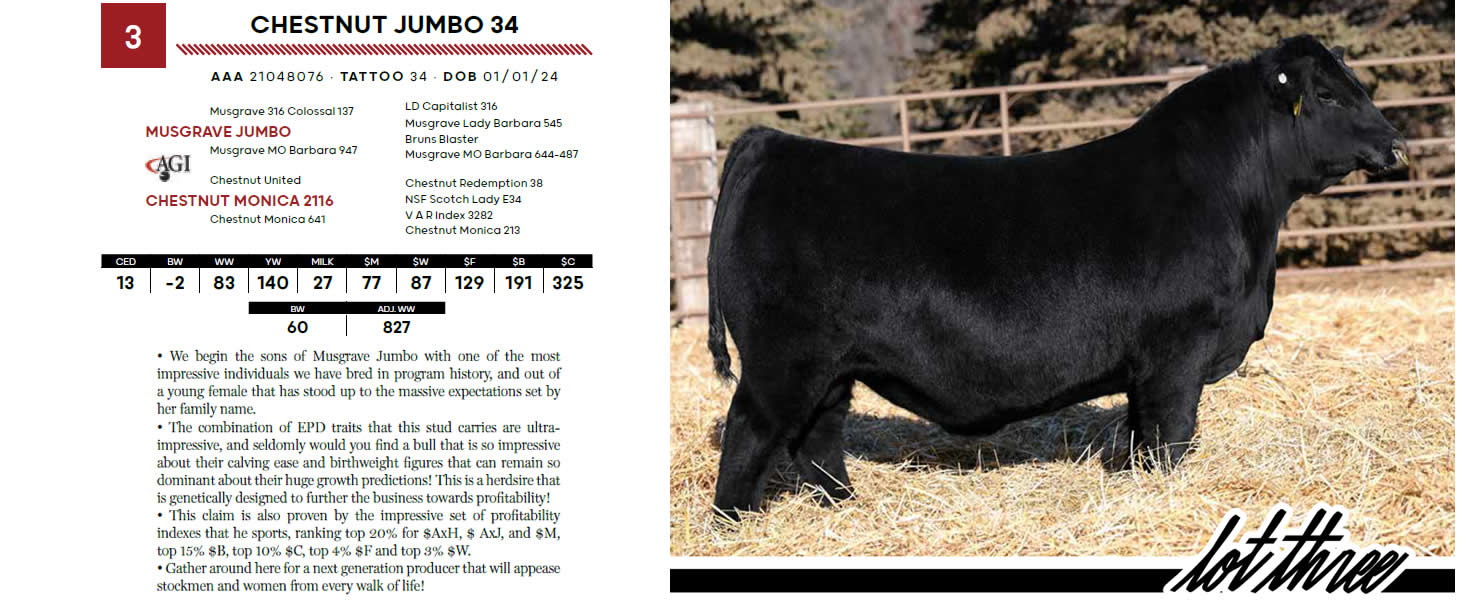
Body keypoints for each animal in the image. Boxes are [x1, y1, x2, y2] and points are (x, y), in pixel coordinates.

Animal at [705, 35, 1407, 520]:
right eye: (1326, 94)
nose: (1396, 144)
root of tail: (773, 142)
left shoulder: (1145, 367)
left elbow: (1140, 440)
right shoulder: (1178, 353)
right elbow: (1171, 438)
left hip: (831, 368)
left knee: (817, 440)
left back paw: (846, 510)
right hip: (782, 360)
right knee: (750, 435)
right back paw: (734, 526)